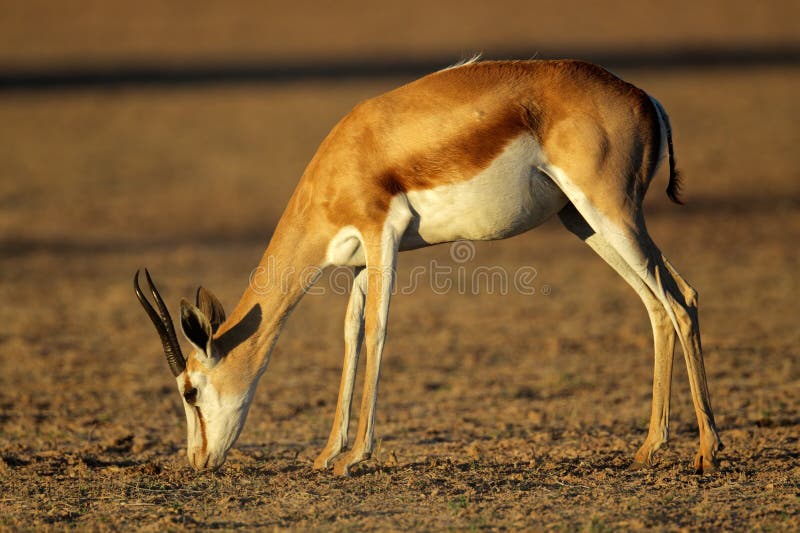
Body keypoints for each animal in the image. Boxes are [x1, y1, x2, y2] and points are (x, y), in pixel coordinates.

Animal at [134, 58, 722, 476]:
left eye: (189, 391)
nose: (196, 462)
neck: (349, 156)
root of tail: (644, 97)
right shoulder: (356, 263)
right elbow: (350, 336)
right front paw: (327, 454)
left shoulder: (383, 236)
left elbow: (377, 332)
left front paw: (355, 457)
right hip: (583, 221)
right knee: (659, 303)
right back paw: (649, 448)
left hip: (611, 212)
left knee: (680, 300)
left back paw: (708, 453)